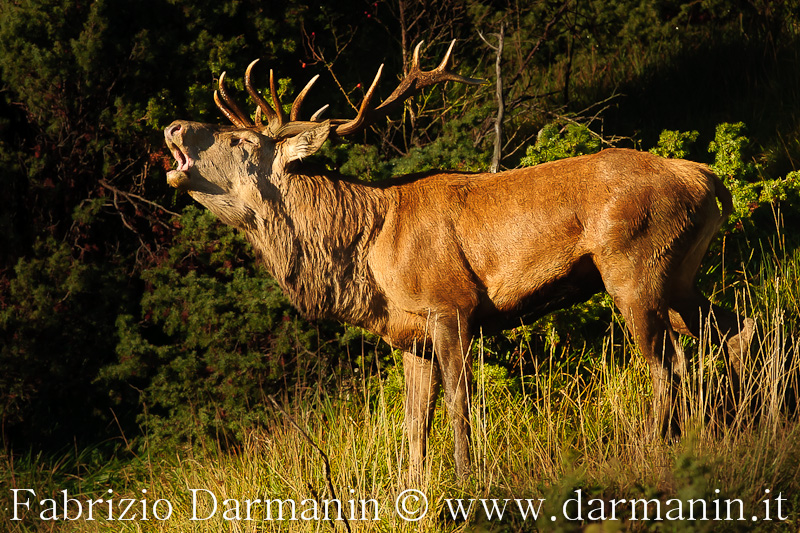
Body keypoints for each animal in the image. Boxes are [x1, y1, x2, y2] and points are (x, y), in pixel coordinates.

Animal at [163, 41, 754, 480]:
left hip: (635, 266)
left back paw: (656, 447)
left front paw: (467, 479)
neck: (366, 251)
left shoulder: (450, 303)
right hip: (680, 275)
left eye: (239, 141)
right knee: (732, 329)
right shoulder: (409, 336)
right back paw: (745, 419)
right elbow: (412, 422)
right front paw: (413, 487)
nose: (172, 127)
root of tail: (706, 179)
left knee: (668, 363)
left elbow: (457, 404)